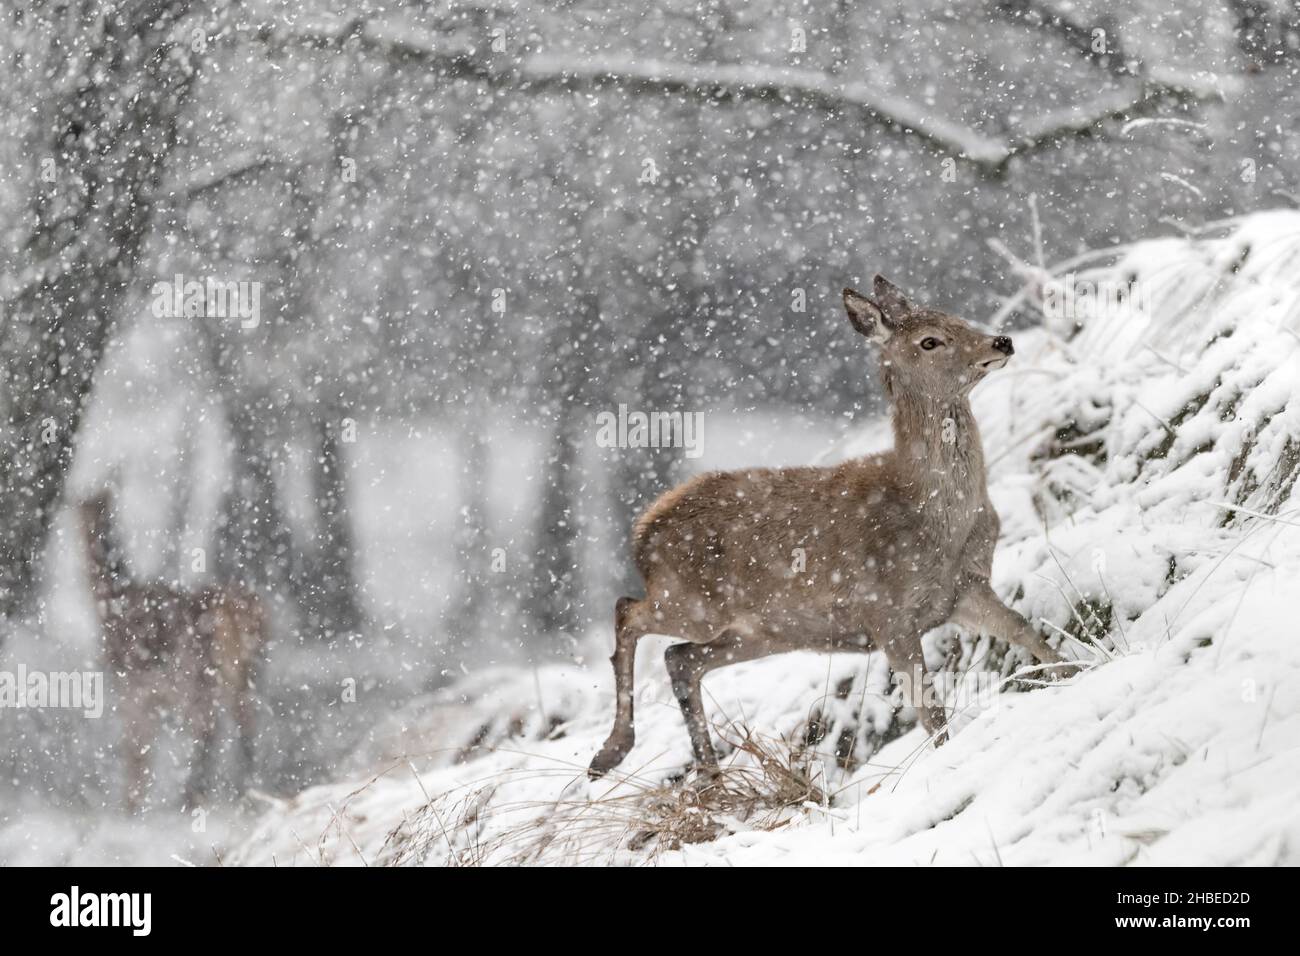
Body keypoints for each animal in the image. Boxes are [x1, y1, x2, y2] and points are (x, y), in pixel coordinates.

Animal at [78, 490, 267, 810]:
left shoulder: (135, 691)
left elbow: (137, 755)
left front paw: (130, 808)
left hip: (193, 678)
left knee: (208, 729)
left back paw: (192, 796)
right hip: (242, 675)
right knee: (244, 722)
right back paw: (245, 789)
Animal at [589, 275, 1066, 779]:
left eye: (956, 316)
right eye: (930, 341)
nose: (1002, 341)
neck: (936, 519)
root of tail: (643, 531)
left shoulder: (964, 589)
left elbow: (1022, 628)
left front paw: (1074, 670)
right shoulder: (887, 614)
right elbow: (929, 707)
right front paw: (943, 758)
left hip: (760, 632)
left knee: (680, 658)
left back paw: (708, 775)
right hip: (693, 601)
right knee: (628, 611)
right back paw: (610, 753)